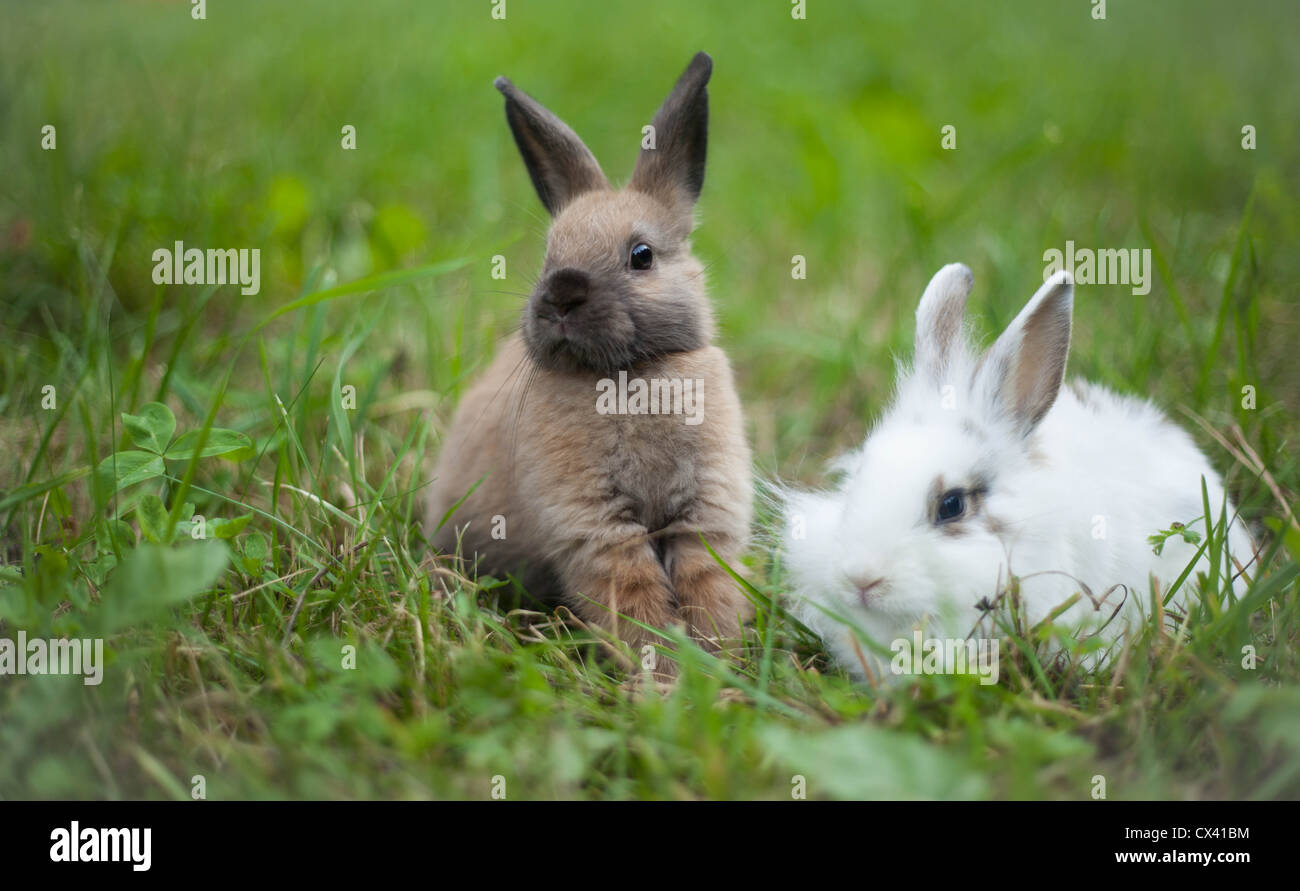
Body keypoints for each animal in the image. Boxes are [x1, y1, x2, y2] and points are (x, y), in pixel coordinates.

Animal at [425, 52, 753, 676]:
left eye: (641, 256)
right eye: (549, 255)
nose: (561, 293)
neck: (629, 376)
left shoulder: (705, 516)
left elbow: (706, 586)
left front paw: (714, 664)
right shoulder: (596, 530)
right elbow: (635, 593)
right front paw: (663, 675)